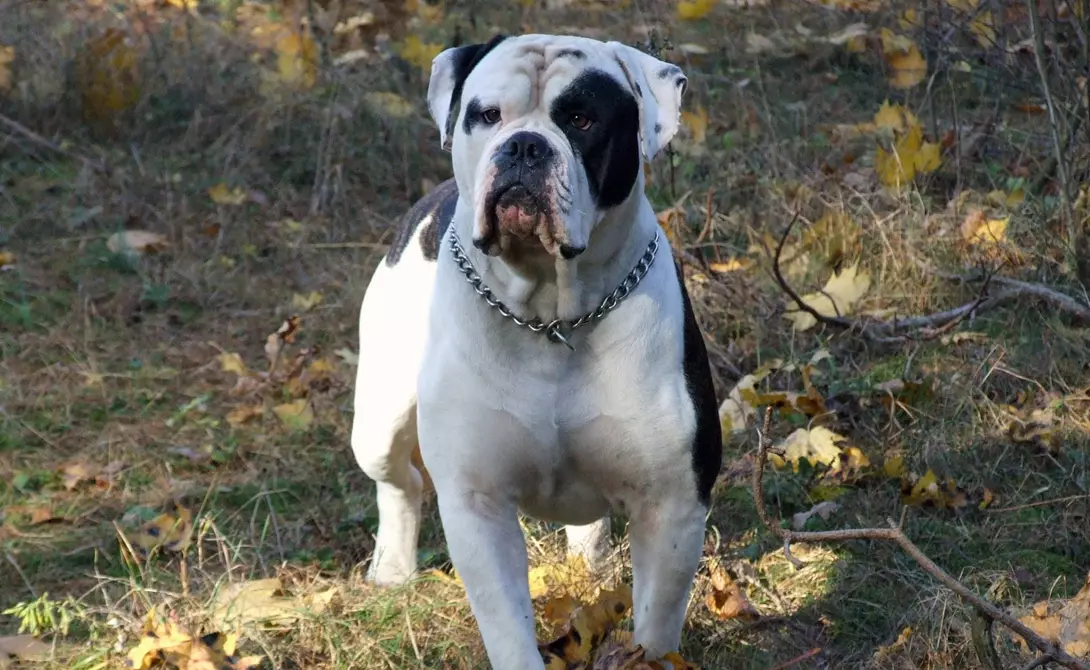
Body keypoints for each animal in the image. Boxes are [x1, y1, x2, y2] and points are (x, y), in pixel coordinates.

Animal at [350, 32, 723, 670]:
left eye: (582, 119)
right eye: (486, 115)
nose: (524, 146)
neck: (554, 312)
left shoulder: (672, 504)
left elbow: (654, 626)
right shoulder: (478, 505)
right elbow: (507, 625)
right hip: (377, 421)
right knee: (399, 480)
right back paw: (393, 569)